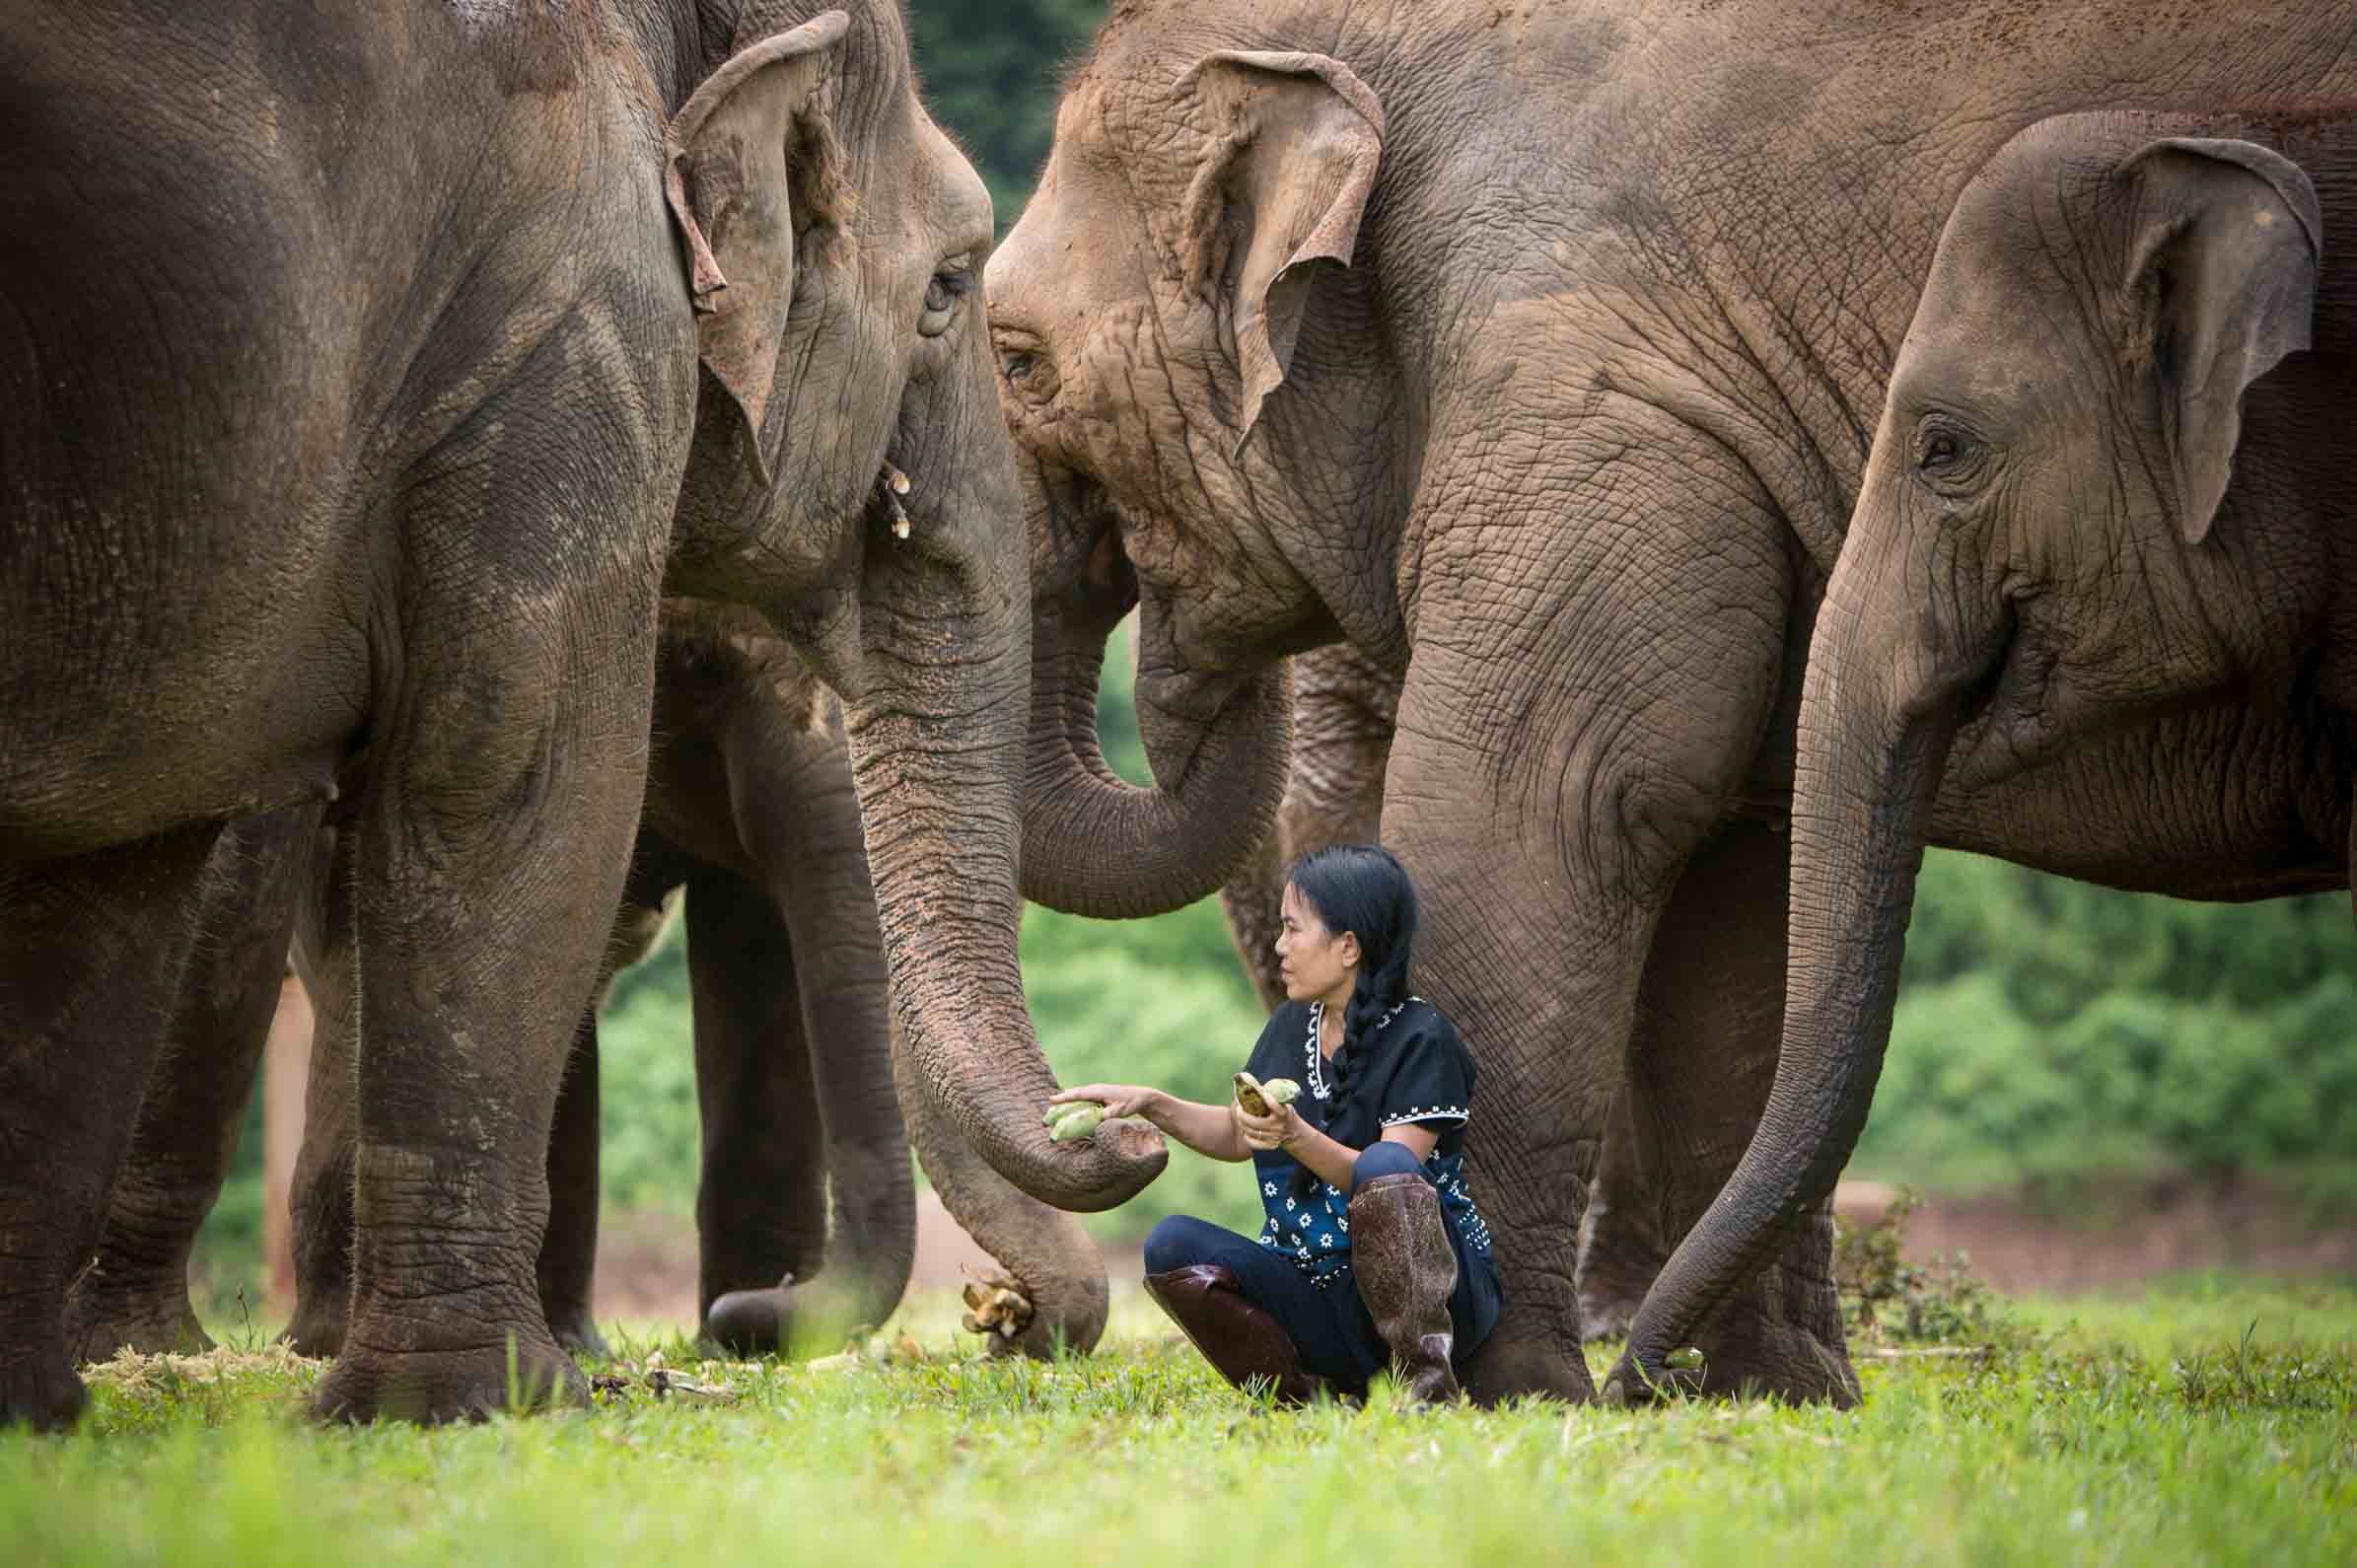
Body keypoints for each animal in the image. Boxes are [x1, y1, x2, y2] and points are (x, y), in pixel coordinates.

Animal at [1, 0, 1158, 1431]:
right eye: (948, 284)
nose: (1118, 1127)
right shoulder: (564, 326)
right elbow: (515, 787)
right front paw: (460, 1402)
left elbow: (121, 858)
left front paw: (41, 1417)